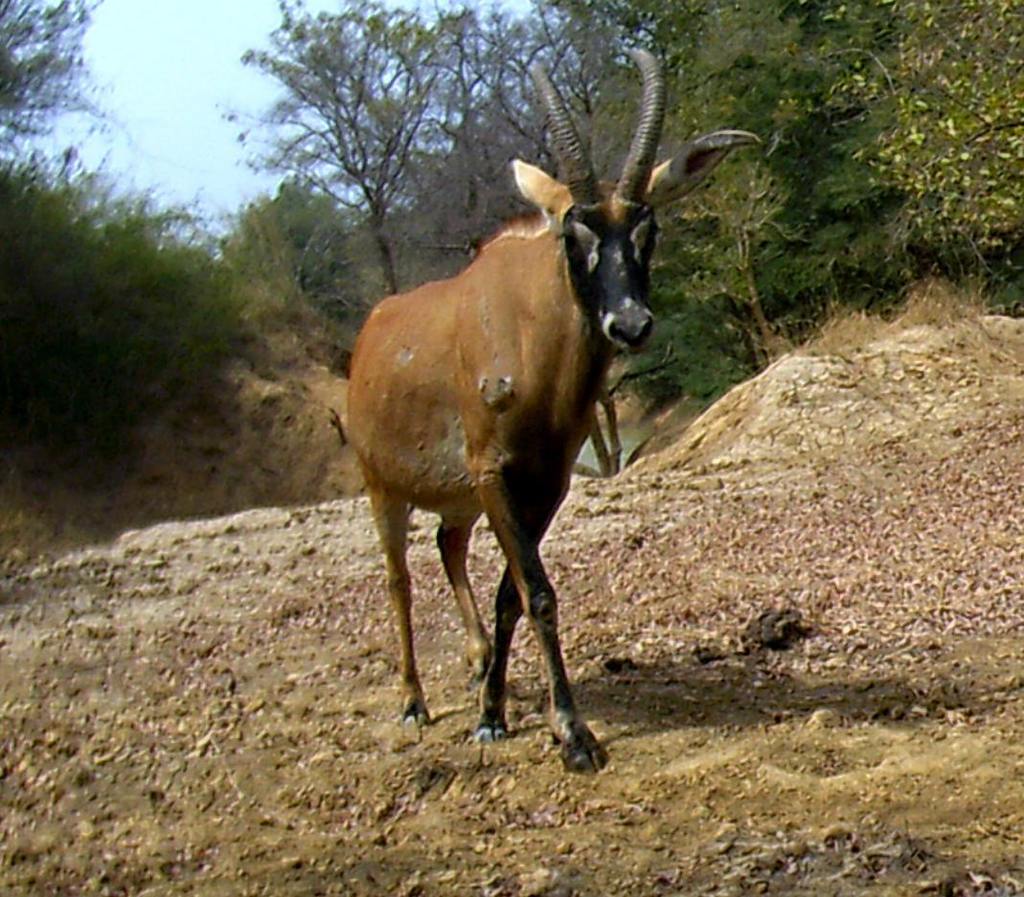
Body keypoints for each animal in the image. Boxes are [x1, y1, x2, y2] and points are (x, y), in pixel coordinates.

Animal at [346, 50, 757, 772]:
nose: (629, 324)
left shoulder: (546, 482)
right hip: (384, 489)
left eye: (647, 228)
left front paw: (493, 712)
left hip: (458, 500)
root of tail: (371, 331)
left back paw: (479, 665)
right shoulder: (495, 472)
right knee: (398, 579)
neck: (527, 330)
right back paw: (413, 701)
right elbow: (536, 592)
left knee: (448, 547)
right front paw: (573, 734)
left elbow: (513, 593)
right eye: (574, 232)